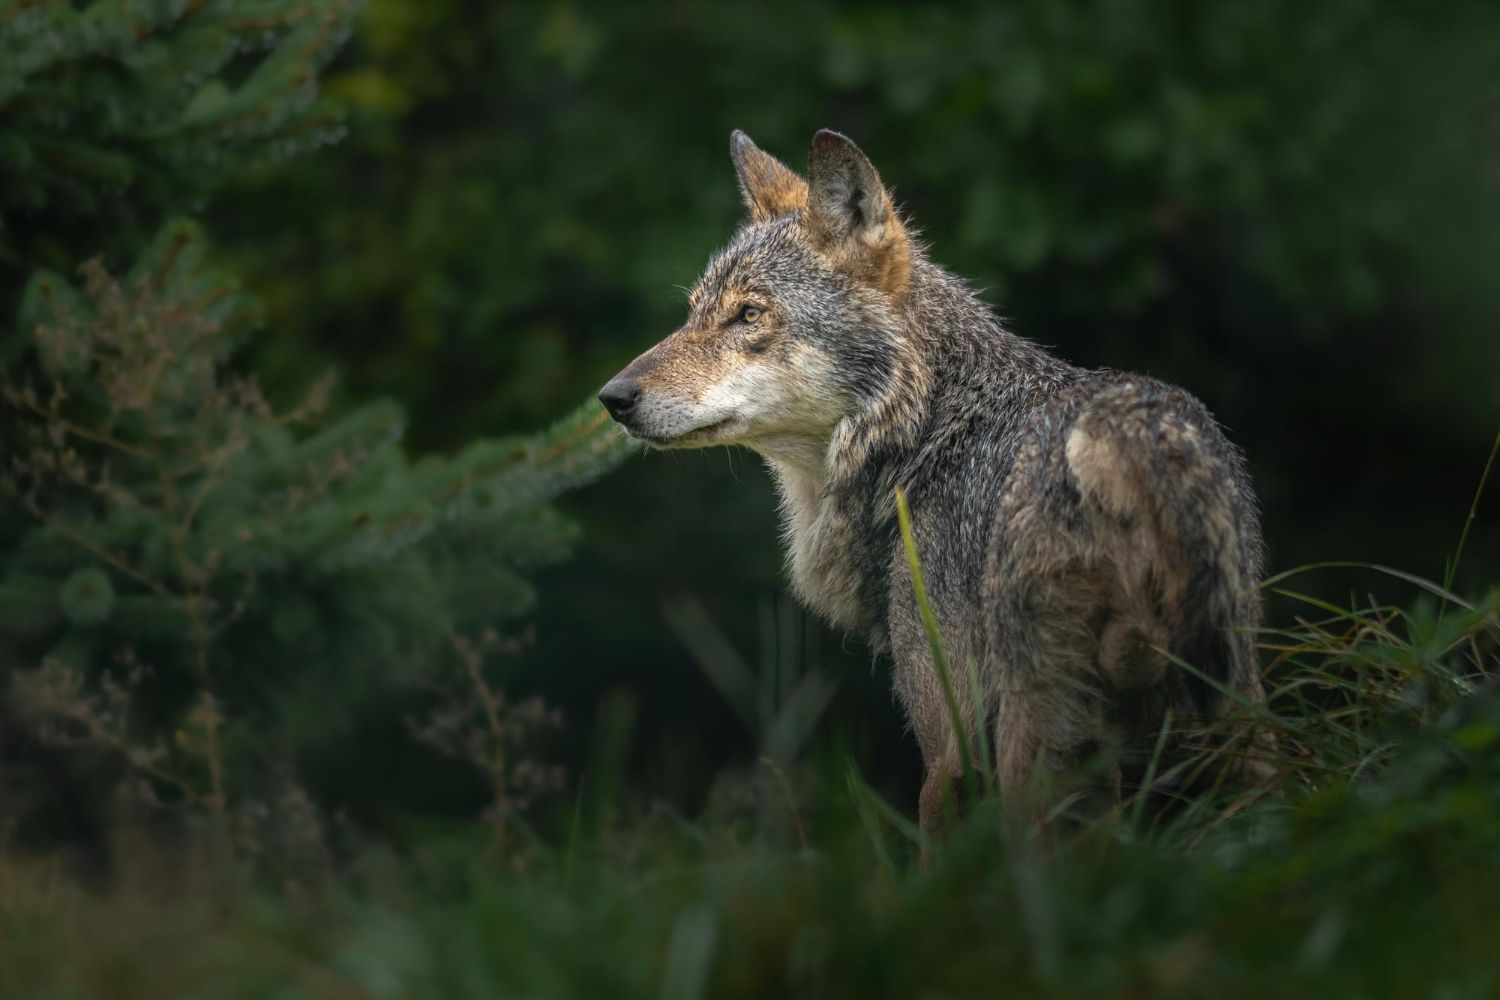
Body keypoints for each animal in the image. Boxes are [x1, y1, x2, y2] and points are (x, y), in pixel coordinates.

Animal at [600, 129, 1268, 835]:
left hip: (1036, 744)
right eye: (694, 313)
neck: (923, 429)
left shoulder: (949, 748)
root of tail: (1133, 435)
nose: (612, 398)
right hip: (1228, 711)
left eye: (748, 315)